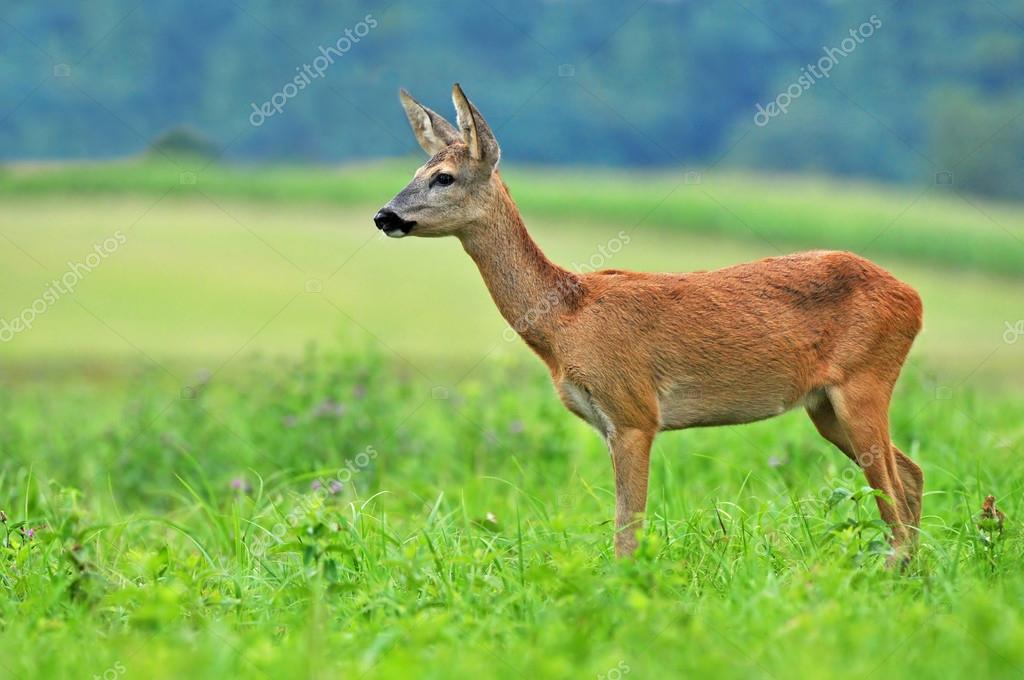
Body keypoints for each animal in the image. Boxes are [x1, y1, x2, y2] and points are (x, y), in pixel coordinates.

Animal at [374, 84, 924, 561]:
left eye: (443, 176)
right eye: (417, 169)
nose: (384, 216)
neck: (565, 322)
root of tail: (913, 298)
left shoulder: (635, 411)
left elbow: (627, 531)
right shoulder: (608, 422)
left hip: (864, 382)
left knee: (895, 495)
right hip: (824, 407)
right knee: (912, 477)